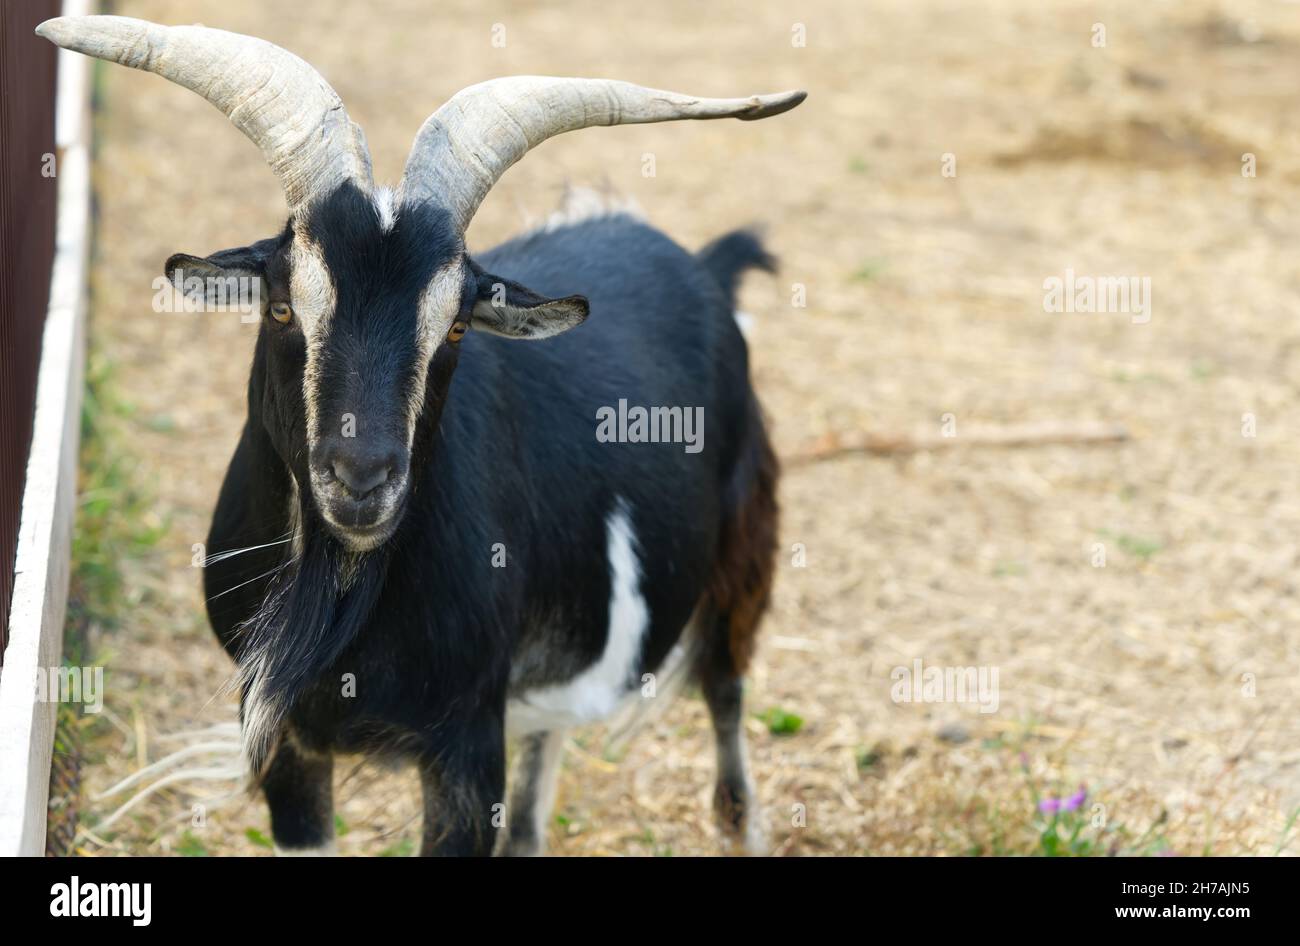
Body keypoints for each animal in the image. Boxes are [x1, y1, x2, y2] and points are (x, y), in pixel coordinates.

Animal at [39, 15, 802, 856]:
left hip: (744, 545)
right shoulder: (283, 737)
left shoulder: (464, 744)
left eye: (458, 325)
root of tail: (704, 264)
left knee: (726, 690)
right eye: (281, 306)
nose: (362, 479)